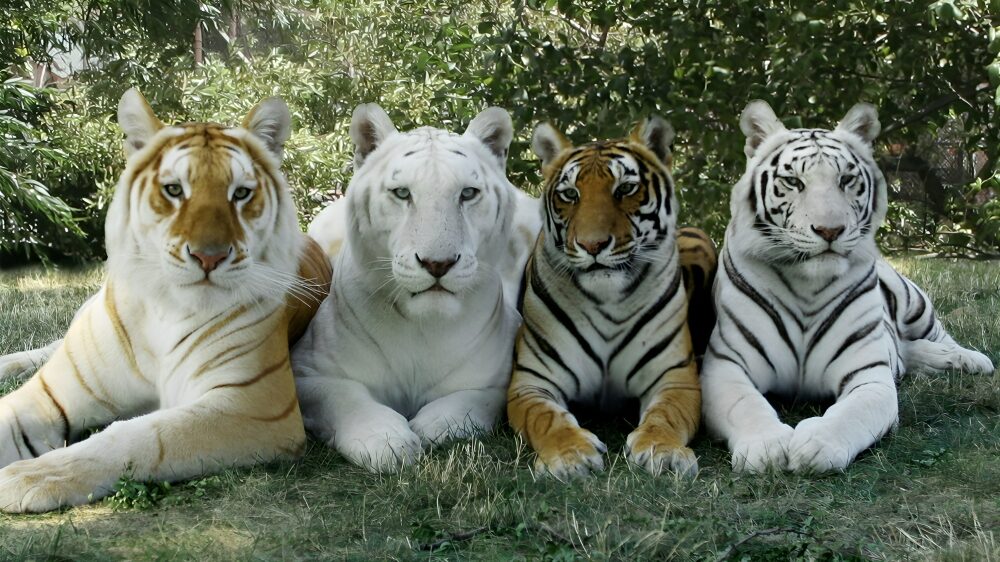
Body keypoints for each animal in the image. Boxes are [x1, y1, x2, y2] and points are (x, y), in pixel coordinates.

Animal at [0, 88, 332, 512]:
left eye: (241, 194)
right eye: (174, 190)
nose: (209, 256)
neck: (165, 307)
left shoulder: (256, 406)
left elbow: (139, 436)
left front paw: (32, 476)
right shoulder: (50, 393)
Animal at [291, 104, 541, 472]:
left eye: (468, 193)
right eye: (402, 193)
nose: (438, 263)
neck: (422, 327)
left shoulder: (499, 376)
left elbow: (477, 399)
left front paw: (432, 425)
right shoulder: (308, 372)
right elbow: (344, 397)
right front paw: (386, 440)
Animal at [506, 117, 718, 479]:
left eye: (625, 189)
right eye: (570, 194)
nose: (592, 245)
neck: (607, 300)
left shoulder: (674, 377)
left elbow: (666, 415)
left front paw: (664, 451)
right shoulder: (531, 382)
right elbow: (547, 418)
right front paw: (570, 456)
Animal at [701, 100, 995, 474]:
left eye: (846, 179)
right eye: (793, 181)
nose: (830, 230)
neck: (806, 284)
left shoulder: (868, 376)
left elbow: (851, 414)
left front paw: (816, 445)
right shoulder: (726, 365)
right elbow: (745, 405)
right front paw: (765, 446)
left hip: (913, 302)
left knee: (936, 336)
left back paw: (969, 360)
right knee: (905, 350)